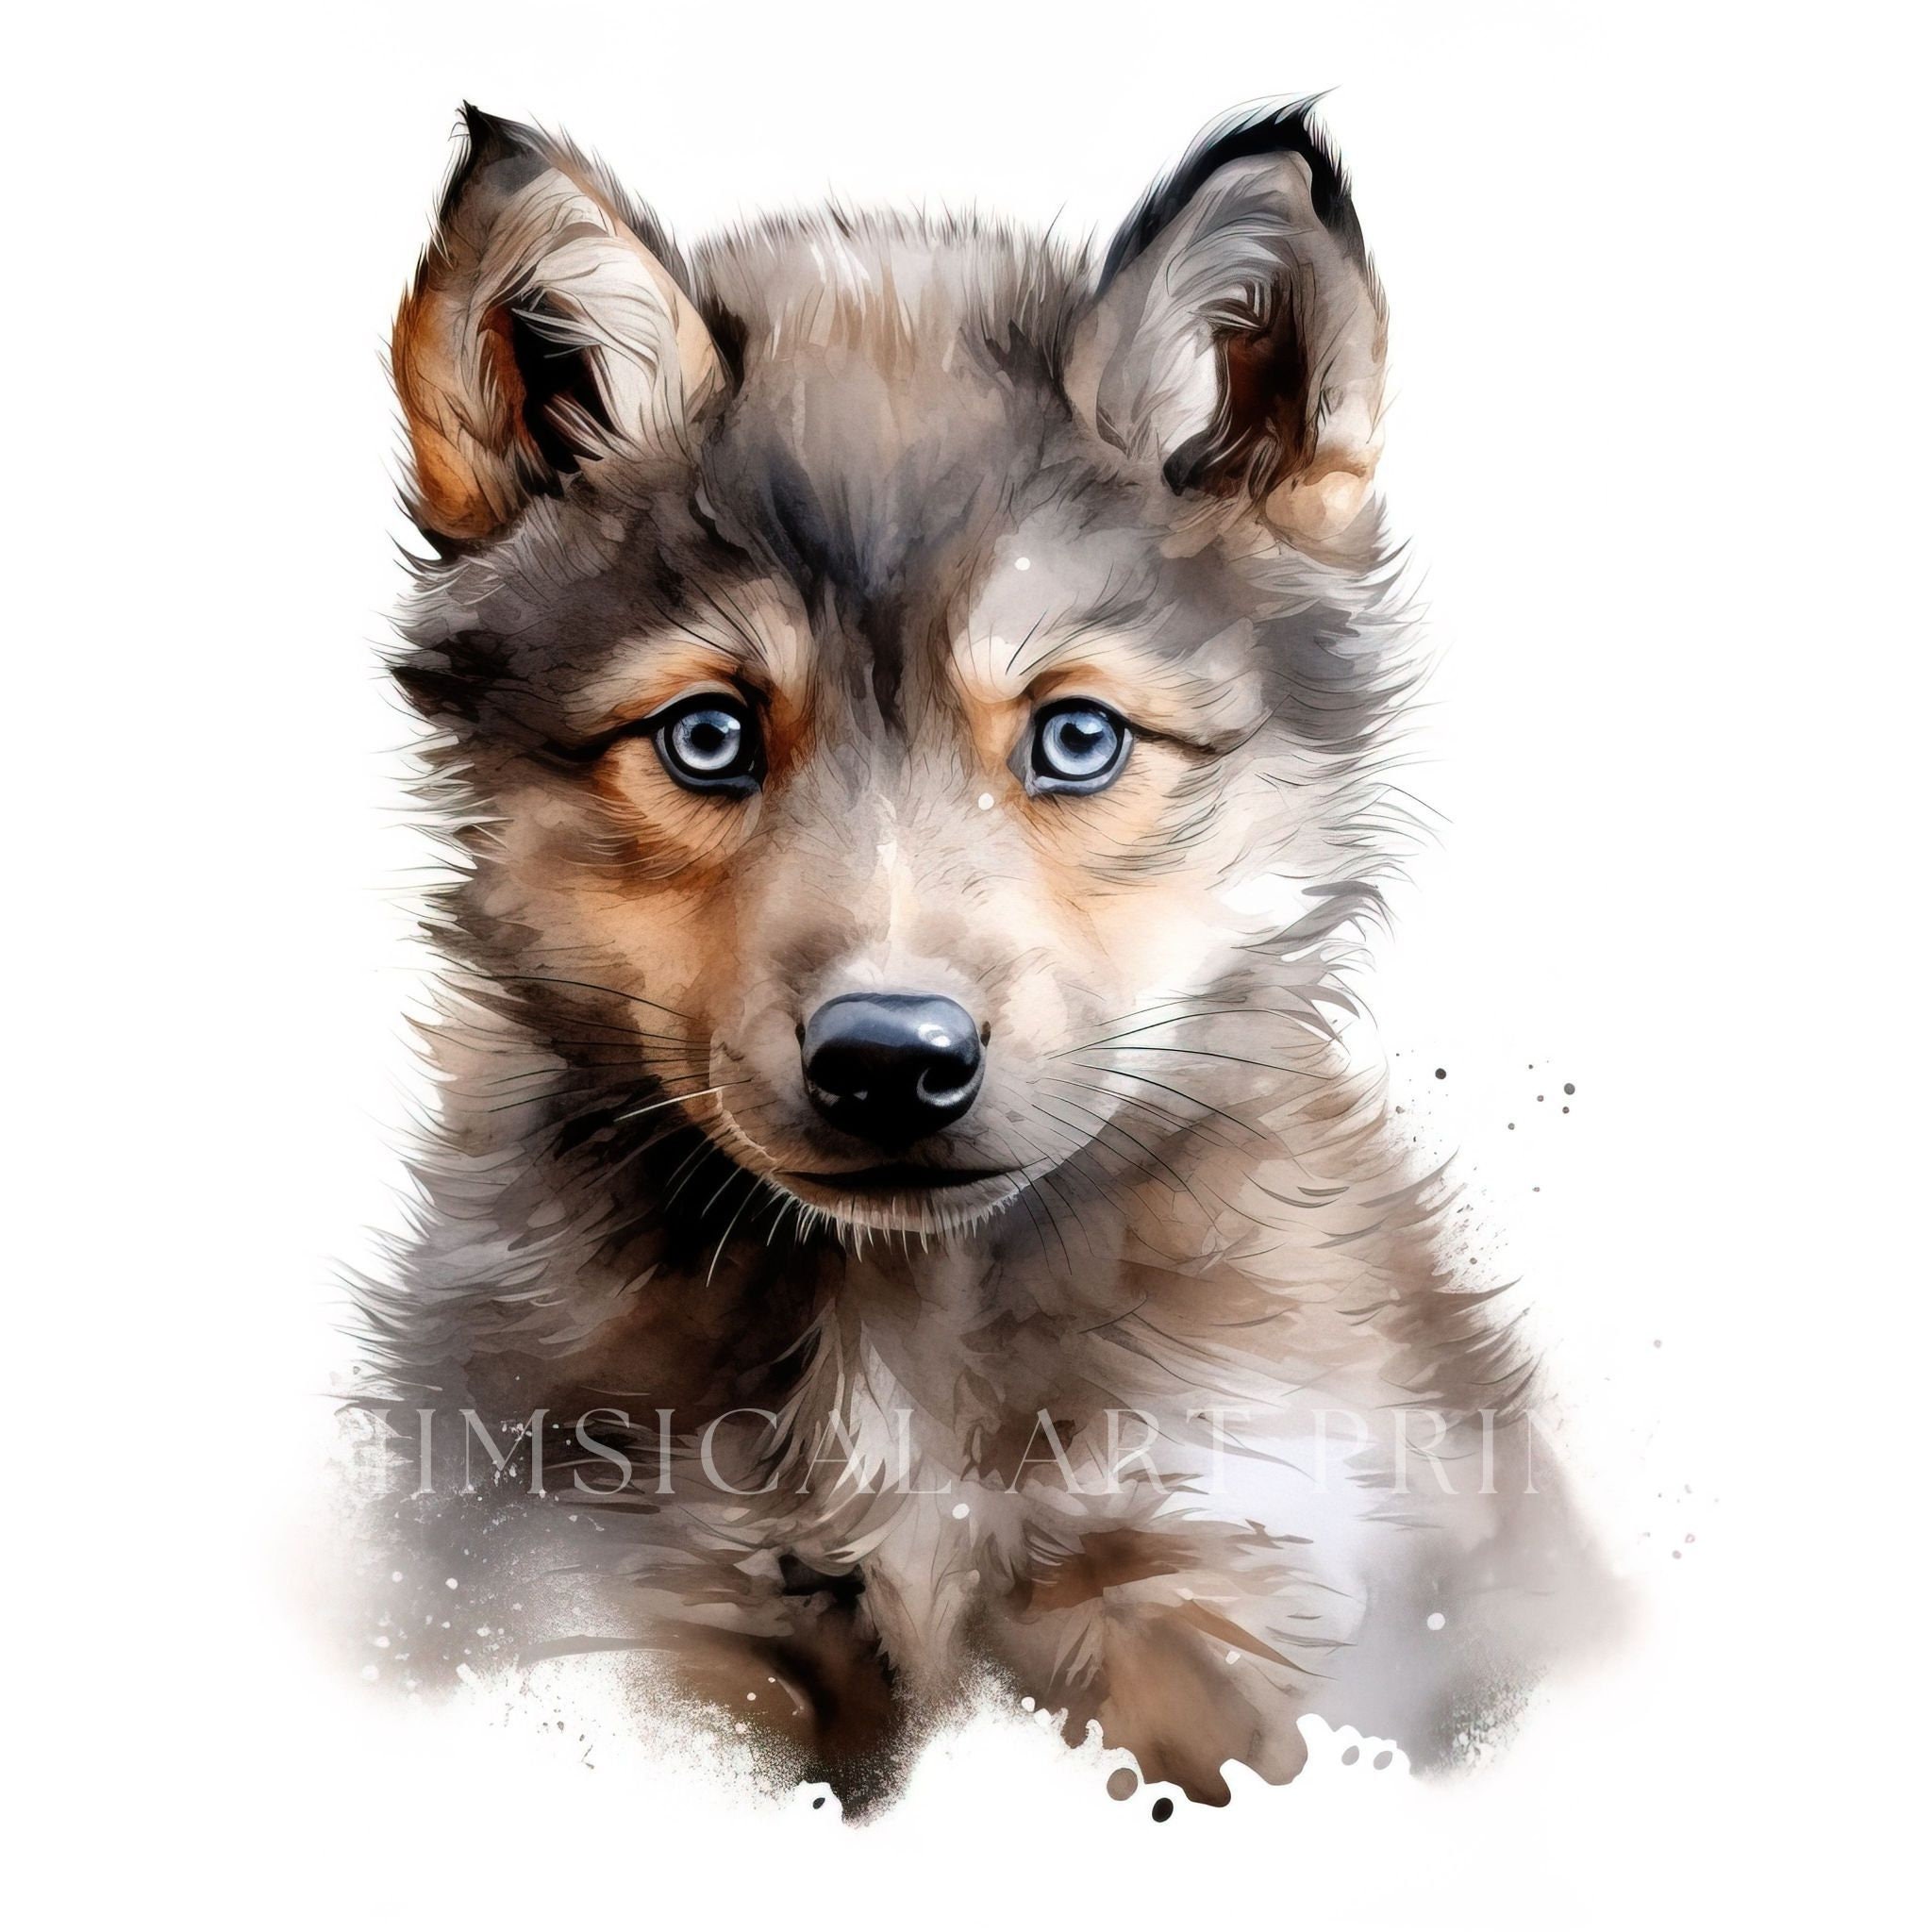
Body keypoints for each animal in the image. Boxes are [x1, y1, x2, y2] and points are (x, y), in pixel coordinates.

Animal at [355, 99, 1607, 1811]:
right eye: (707, 738)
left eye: (1075, 739)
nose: (891, 1062)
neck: (892, 1365)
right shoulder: (593, 1599)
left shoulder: (1233, 1587)